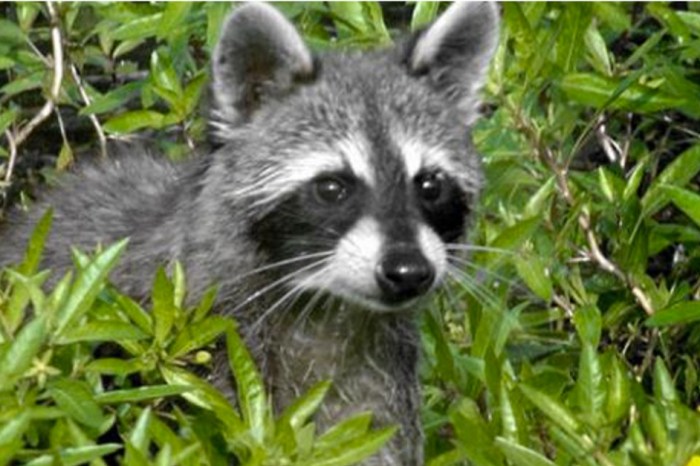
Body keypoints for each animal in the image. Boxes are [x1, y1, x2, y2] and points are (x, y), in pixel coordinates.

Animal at [0, 3, 499, 465]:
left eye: (430, 185)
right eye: (332, 187)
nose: (409, 270)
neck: (329, 308)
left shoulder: (379, 380)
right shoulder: (211, 354)